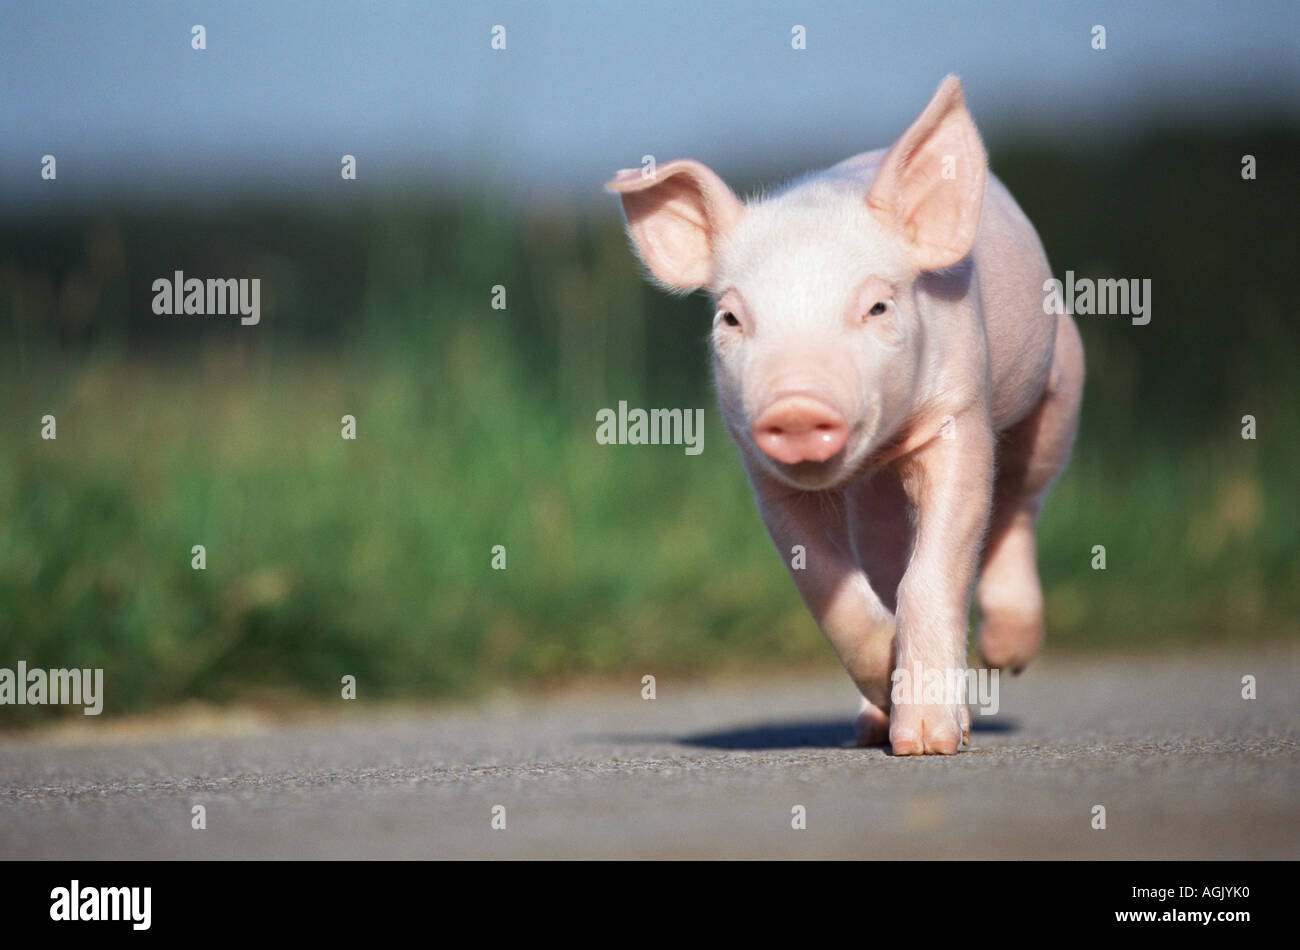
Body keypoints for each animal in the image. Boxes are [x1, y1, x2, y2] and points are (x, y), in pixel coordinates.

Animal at [607, 76, 1084, 754]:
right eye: (730, 317)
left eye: (878, 307)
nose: (796, 405)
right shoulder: (765, 475)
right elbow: (828, 588)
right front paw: (889, 695)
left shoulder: (960, 412)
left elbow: (933, 570)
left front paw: (929, 745)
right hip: (875, 497)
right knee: (886, 554)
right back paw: (873, 725)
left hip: (1061, 375)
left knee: (1020, 499)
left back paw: (1006, 658)